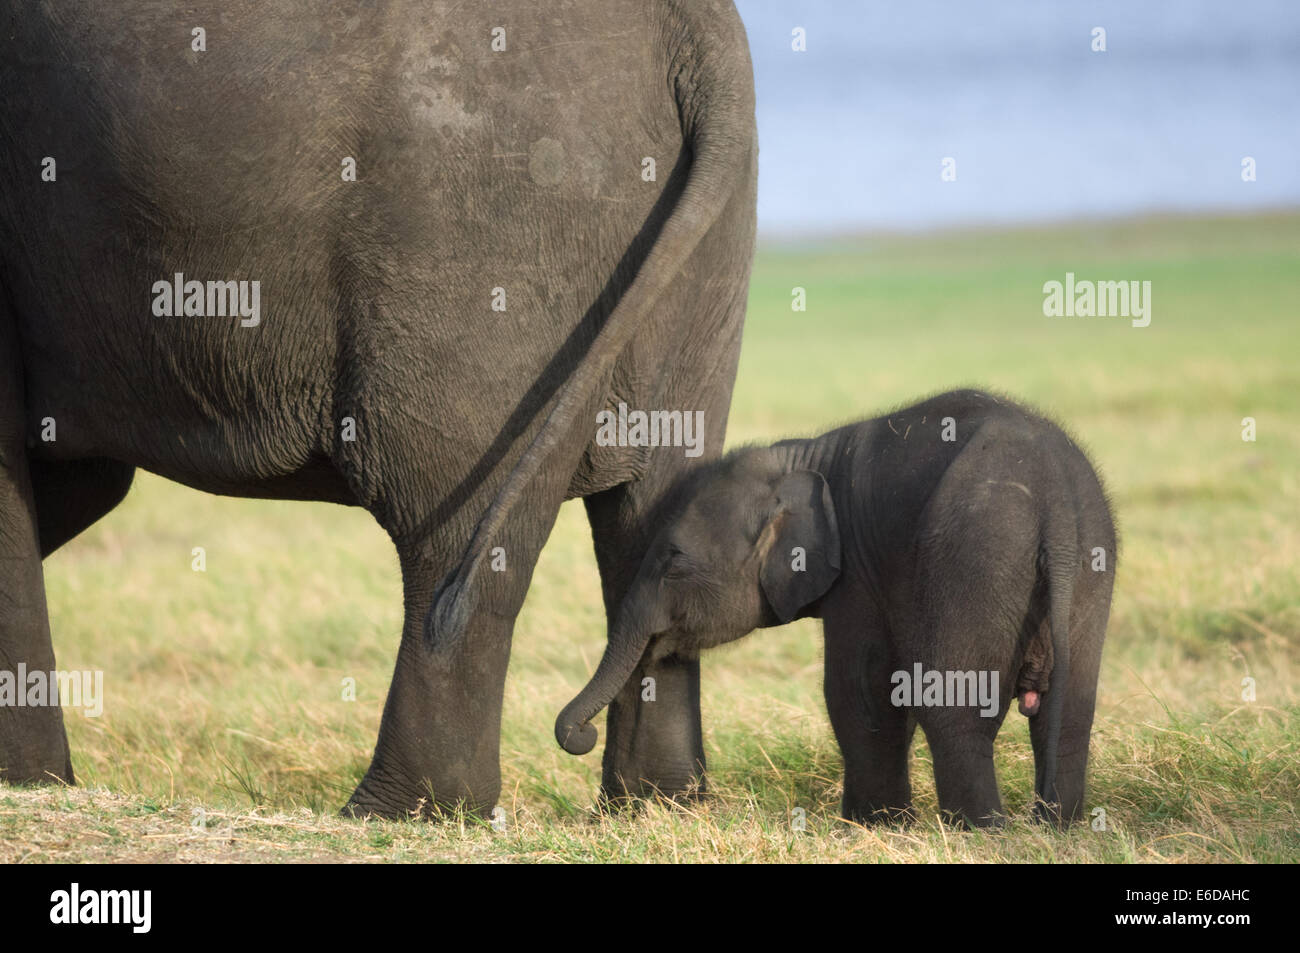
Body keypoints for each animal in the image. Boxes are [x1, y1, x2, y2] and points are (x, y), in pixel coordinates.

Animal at [0, 0, 758, 818]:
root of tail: (697, 32)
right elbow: (79, 484)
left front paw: (25, 786)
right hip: (693, 254)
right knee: (650, 513)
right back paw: (653, 804)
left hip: (483, 218)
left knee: (449, 533)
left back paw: (395, 811)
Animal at [555, 389, 1117, 827]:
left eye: (672, 562)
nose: (580, 735)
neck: (806, 454)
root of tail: (1054, 506)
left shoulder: (859, 573)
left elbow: (861, 688)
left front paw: (873, 827)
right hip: (1090, 565)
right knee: (1070, 712)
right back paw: (1056, 828)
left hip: (977, 558)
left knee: (954, 710)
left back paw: (979, 832)